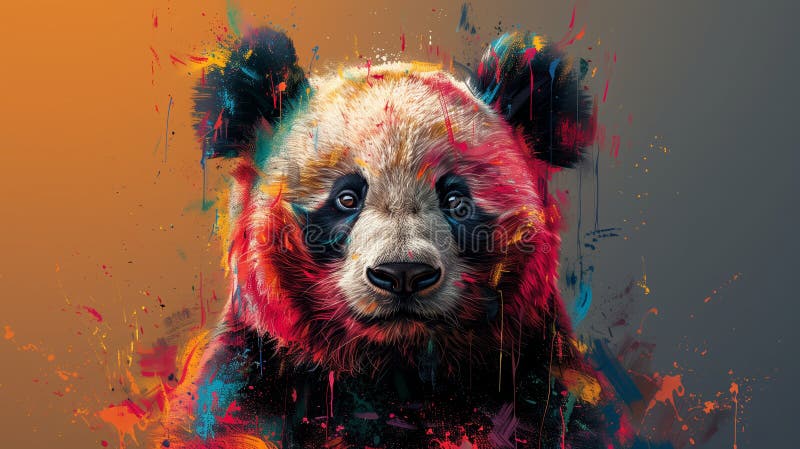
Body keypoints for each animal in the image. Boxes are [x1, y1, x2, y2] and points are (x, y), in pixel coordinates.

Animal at [158, 28, 621, 449]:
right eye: (346, 197)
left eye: (456, 200)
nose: (403, 274)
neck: (395, 367)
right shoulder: (257, 379)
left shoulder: (536, 384)